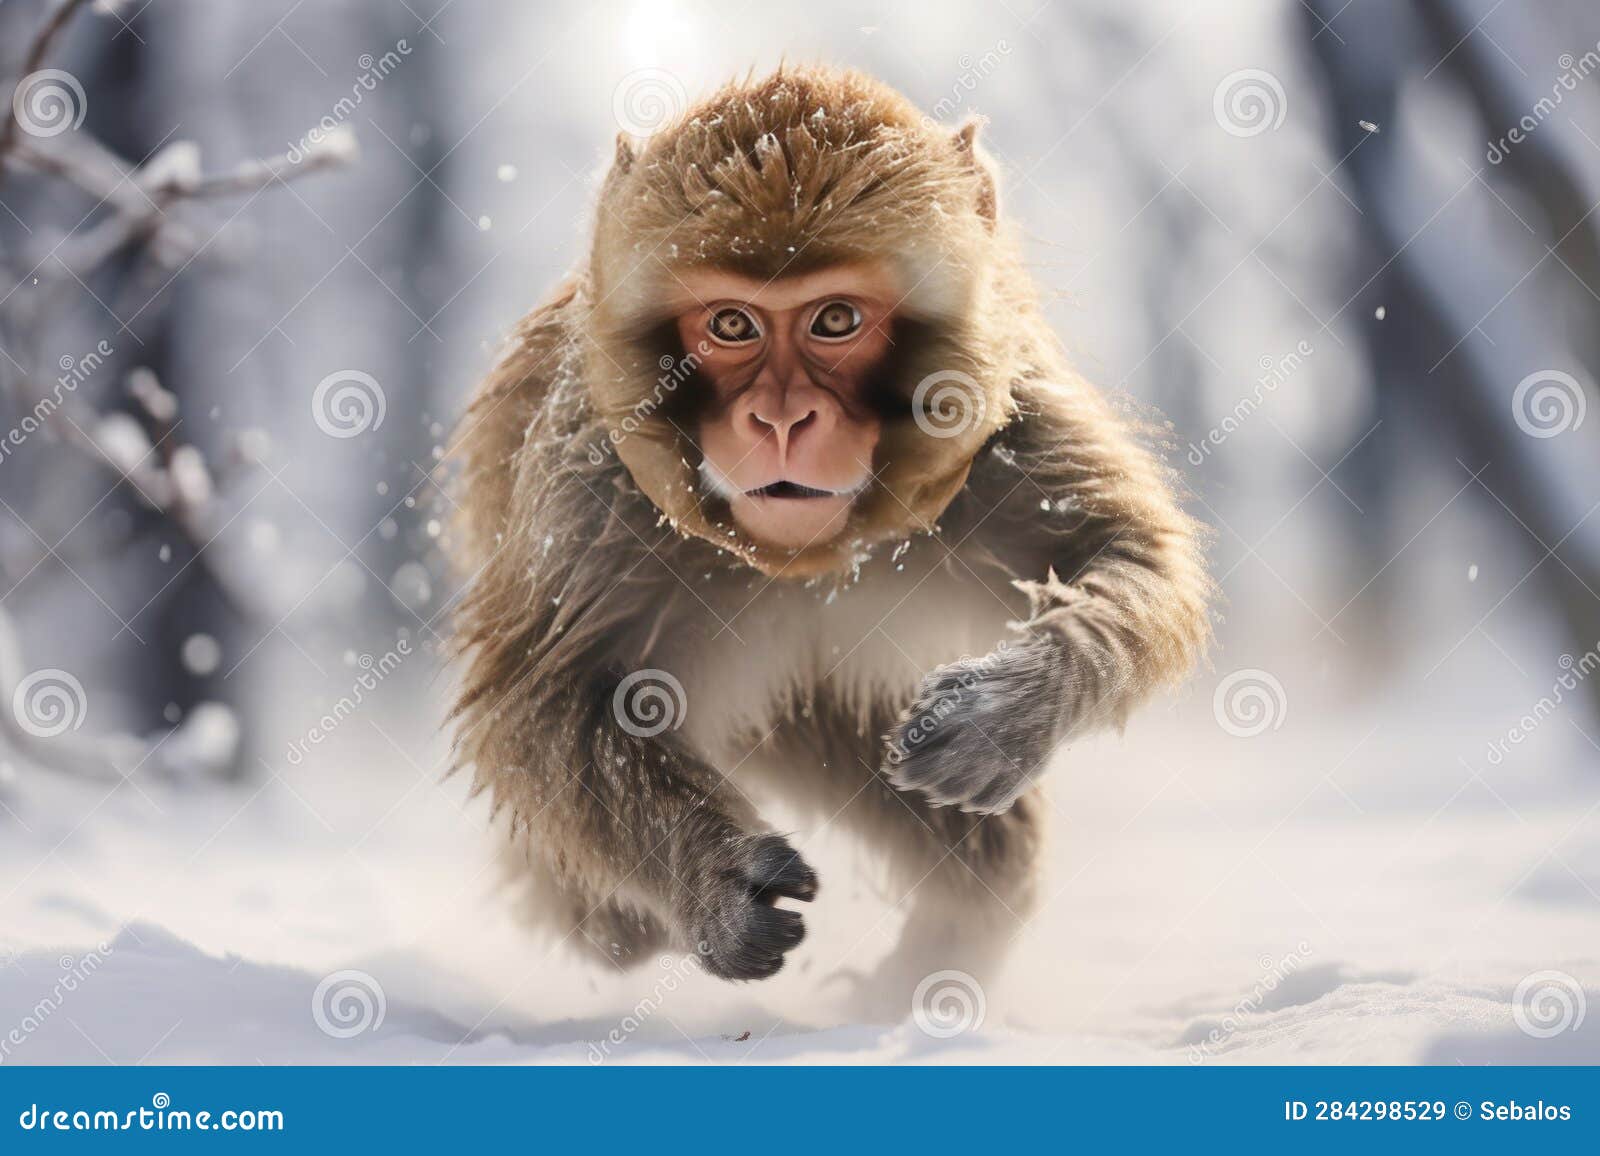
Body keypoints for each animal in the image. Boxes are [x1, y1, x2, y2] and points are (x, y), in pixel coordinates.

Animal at [448, 66, 1211, 997]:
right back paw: (615, 920)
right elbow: (546, 693)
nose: (781, 420)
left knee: (986, 849)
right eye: (732, 324)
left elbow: (1127, 553)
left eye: (834, 320)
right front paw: (718, 884)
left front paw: (1006, 711)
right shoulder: (595, 483)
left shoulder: (1006, 437)